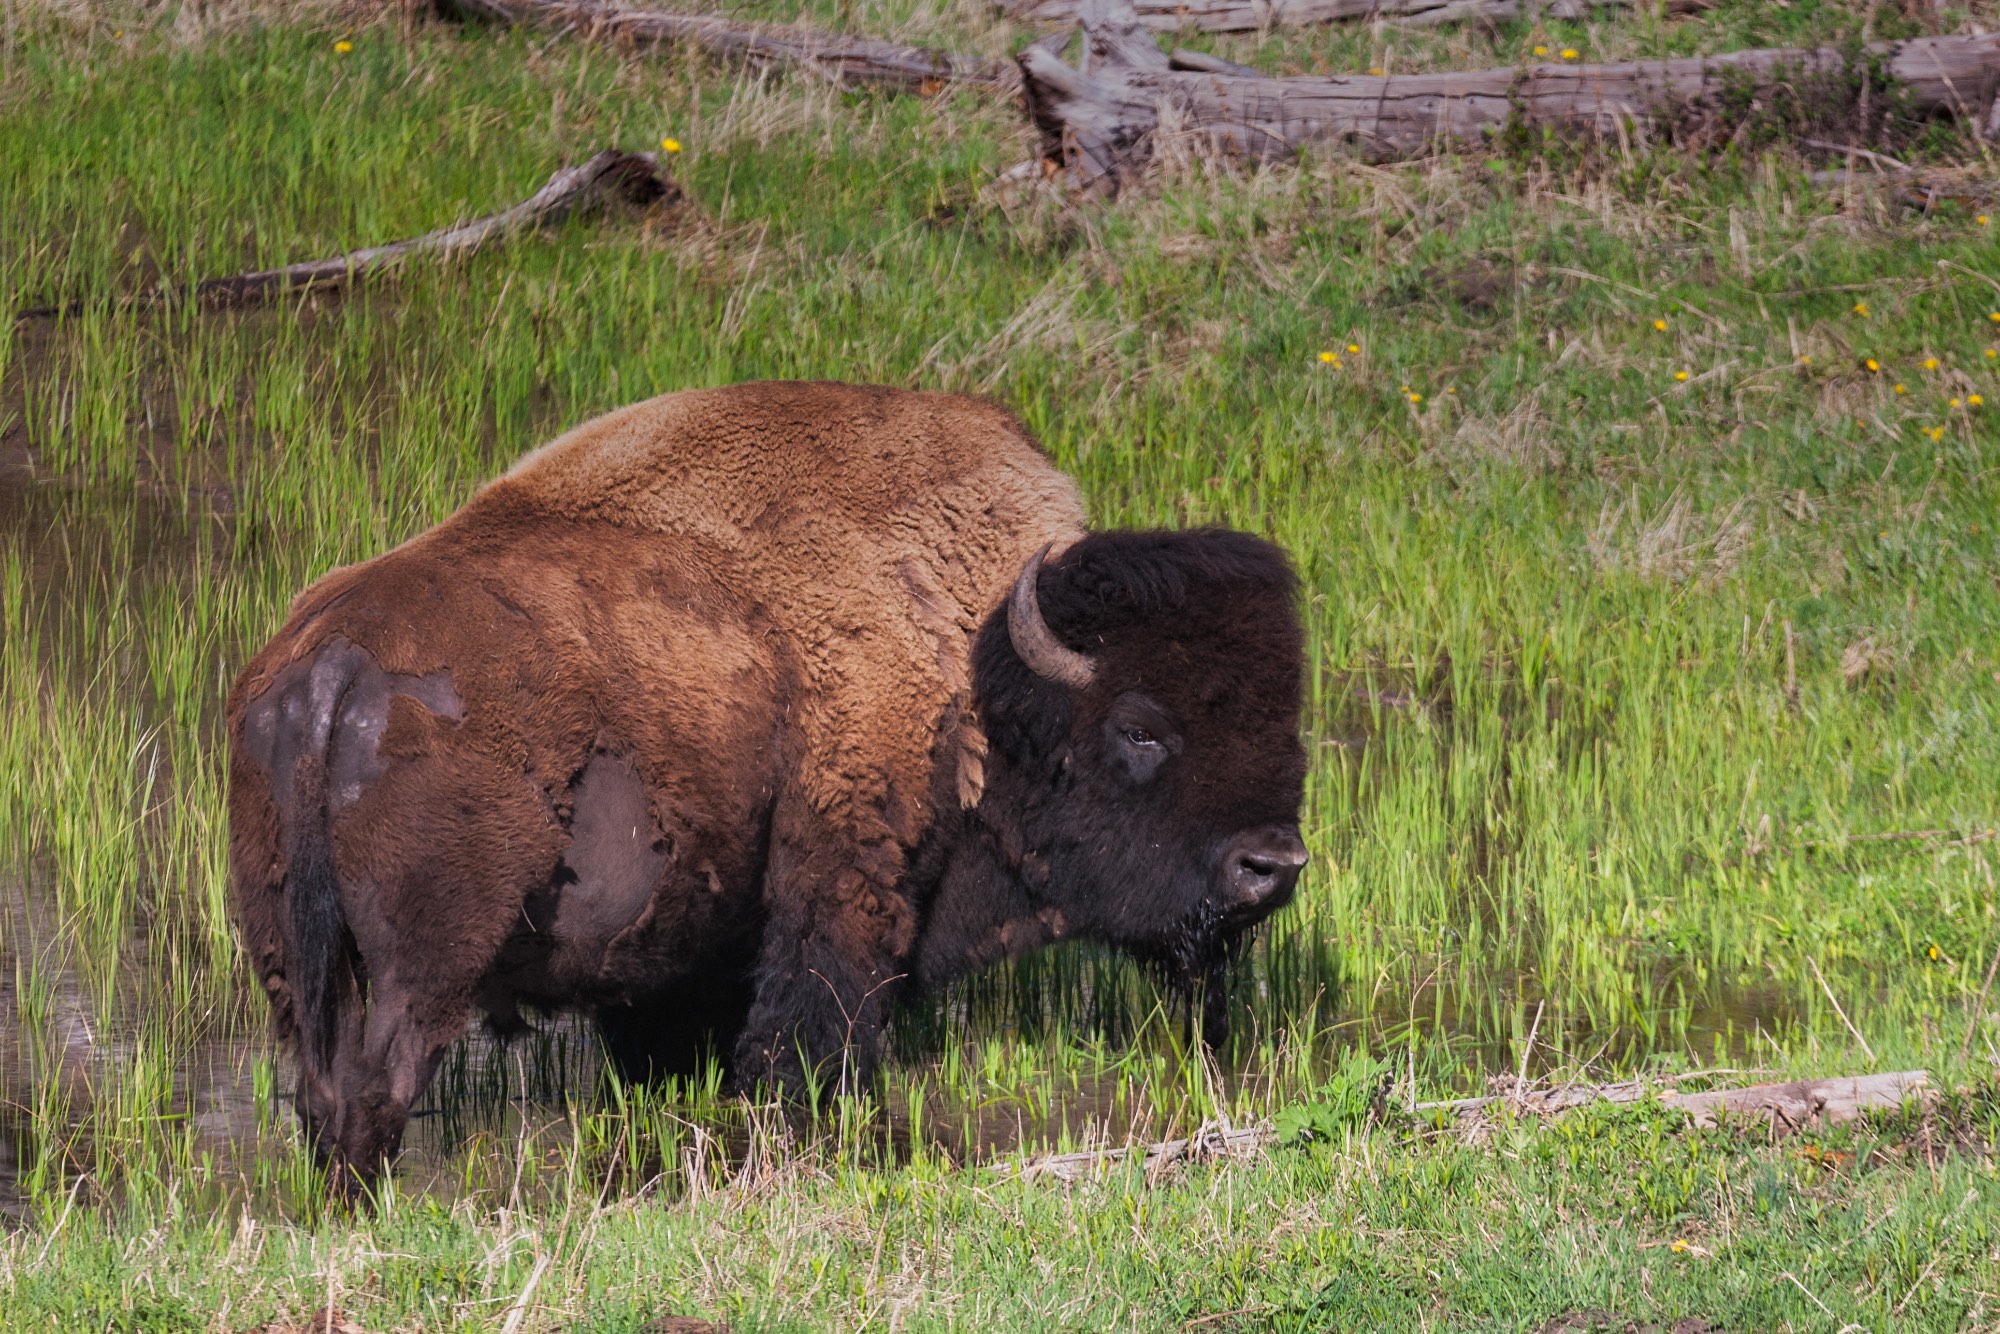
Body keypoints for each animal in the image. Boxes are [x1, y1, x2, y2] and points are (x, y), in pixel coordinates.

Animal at [227, 381, 1307, 1186]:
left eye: (1287, 716)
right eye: (1139, 727)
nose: (1273, 865)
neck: (975, 662)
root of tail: (330, 669)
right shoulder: (843, 886)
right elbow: (811, 1037)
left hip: (291, 956)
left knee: (319, 1091)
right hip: (423, 962)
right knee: (378, 1085)